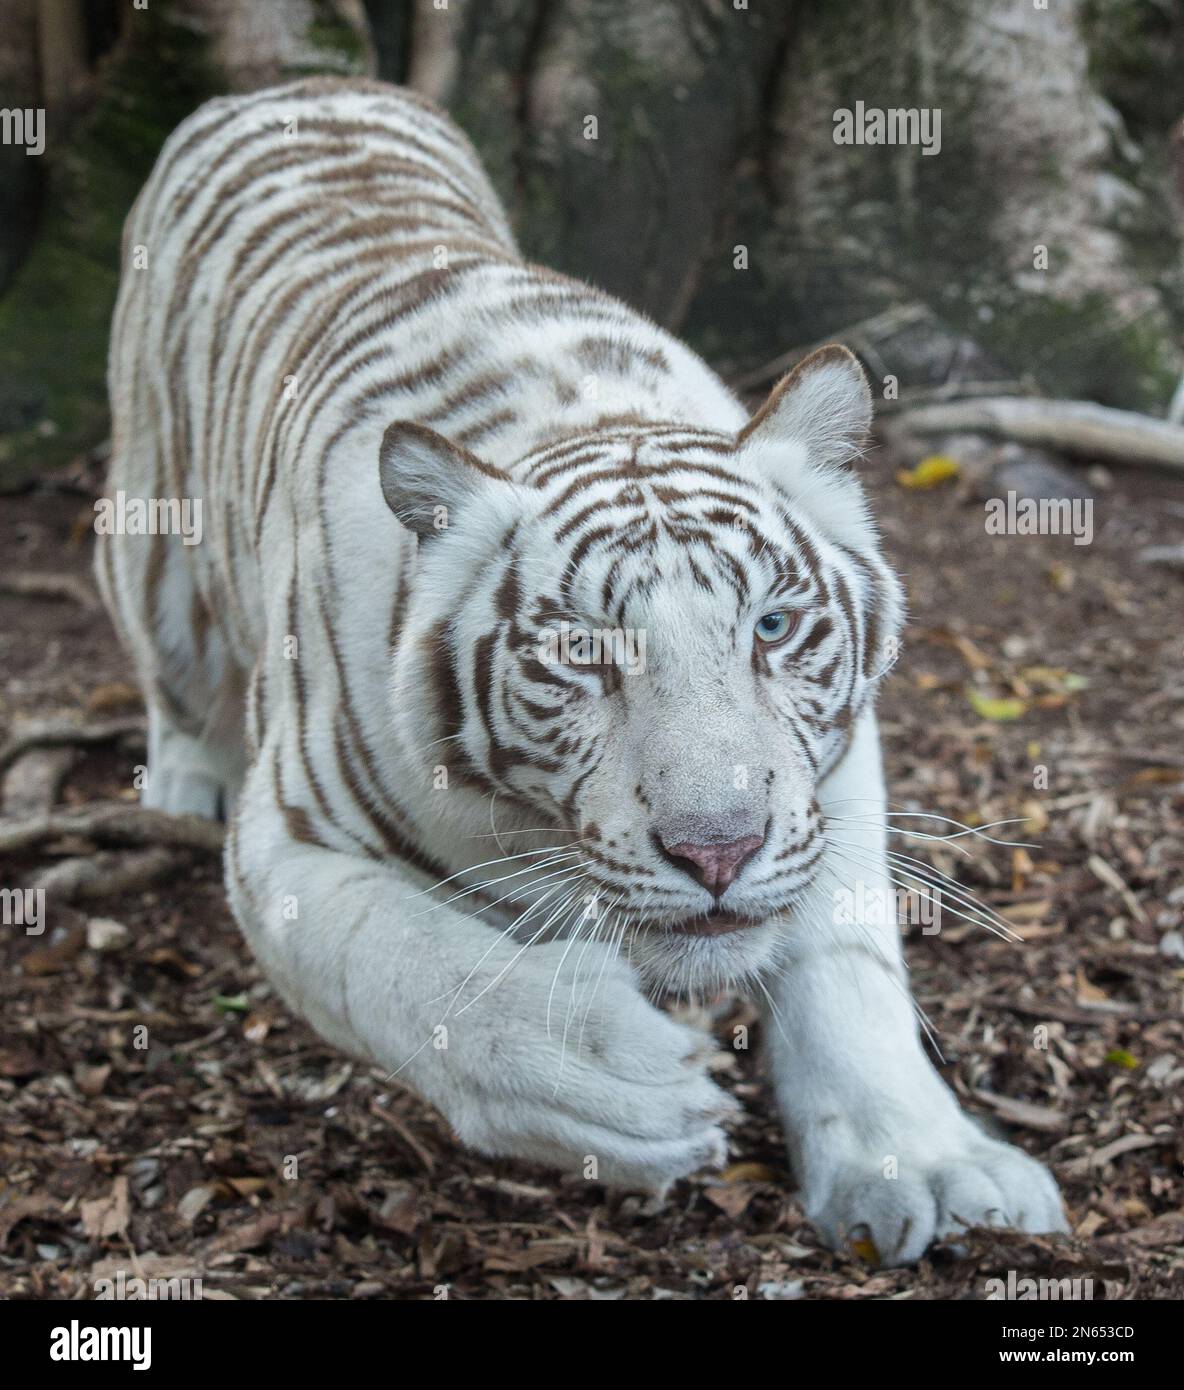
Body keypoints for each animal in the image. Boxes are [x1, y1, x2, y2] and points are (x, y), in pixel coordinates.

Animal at [97, 76, 1066, 1266]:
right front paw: (620, 1086)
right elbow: (409, 967)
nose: (718, 850)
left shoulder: (836, 775)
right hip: (151, 537)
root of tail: (295, 81)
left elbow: (849, 970)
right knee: (173, 673)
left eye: (773, 625)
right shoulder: (286, 841)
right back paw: (182, 781)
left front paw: (927, 1165)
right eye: (579, 652)